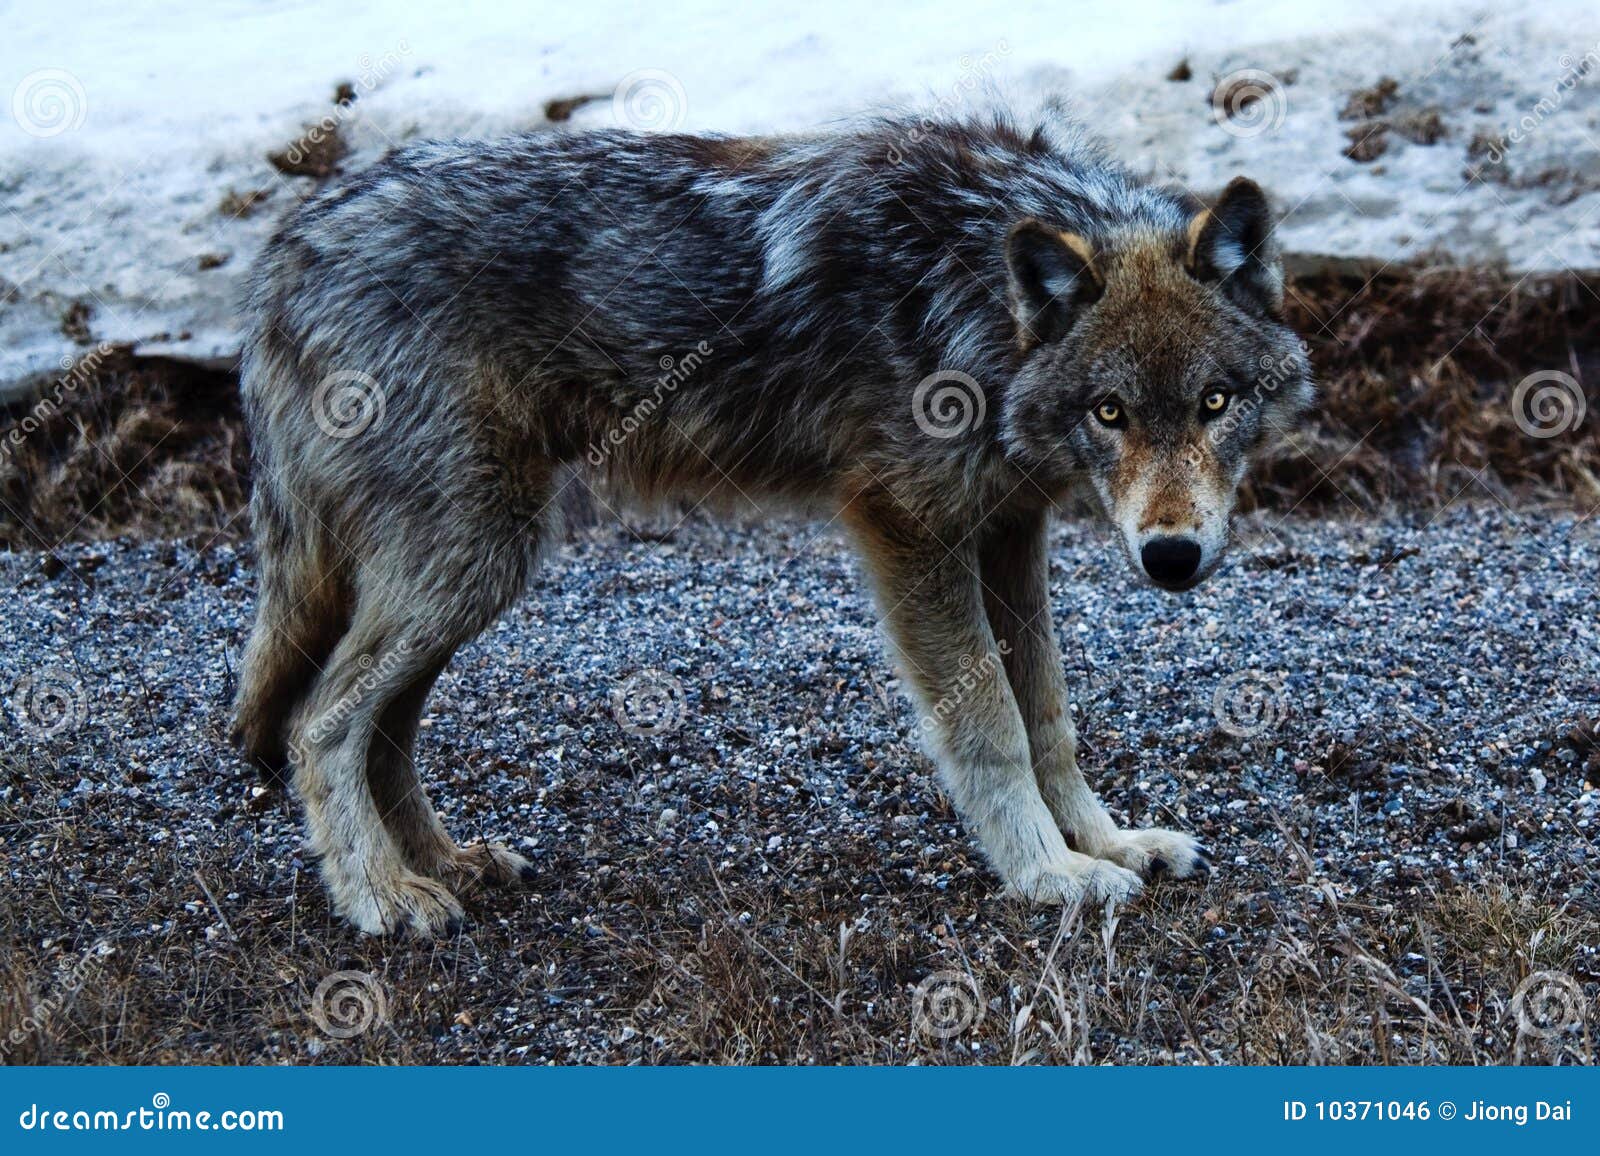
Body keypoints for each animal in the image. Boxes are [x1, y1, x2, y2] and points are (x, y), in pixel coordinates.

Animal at [233, 108, 1312, 936]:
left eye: (1215, 403)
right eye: (1111, 412)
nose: (1170, 556)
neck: (973, 293)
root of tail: (289, 246)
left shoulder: (1008, 531)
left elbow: (1049, 718)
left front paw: (1107, 843)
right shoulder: (910, 528)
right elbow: (993, 729)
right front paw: (1049, 875)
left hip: (468, 575)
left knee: (382, 730)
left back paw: (447, 862)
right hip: (472, 561)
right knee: (318, 722)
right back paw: (381, 897)